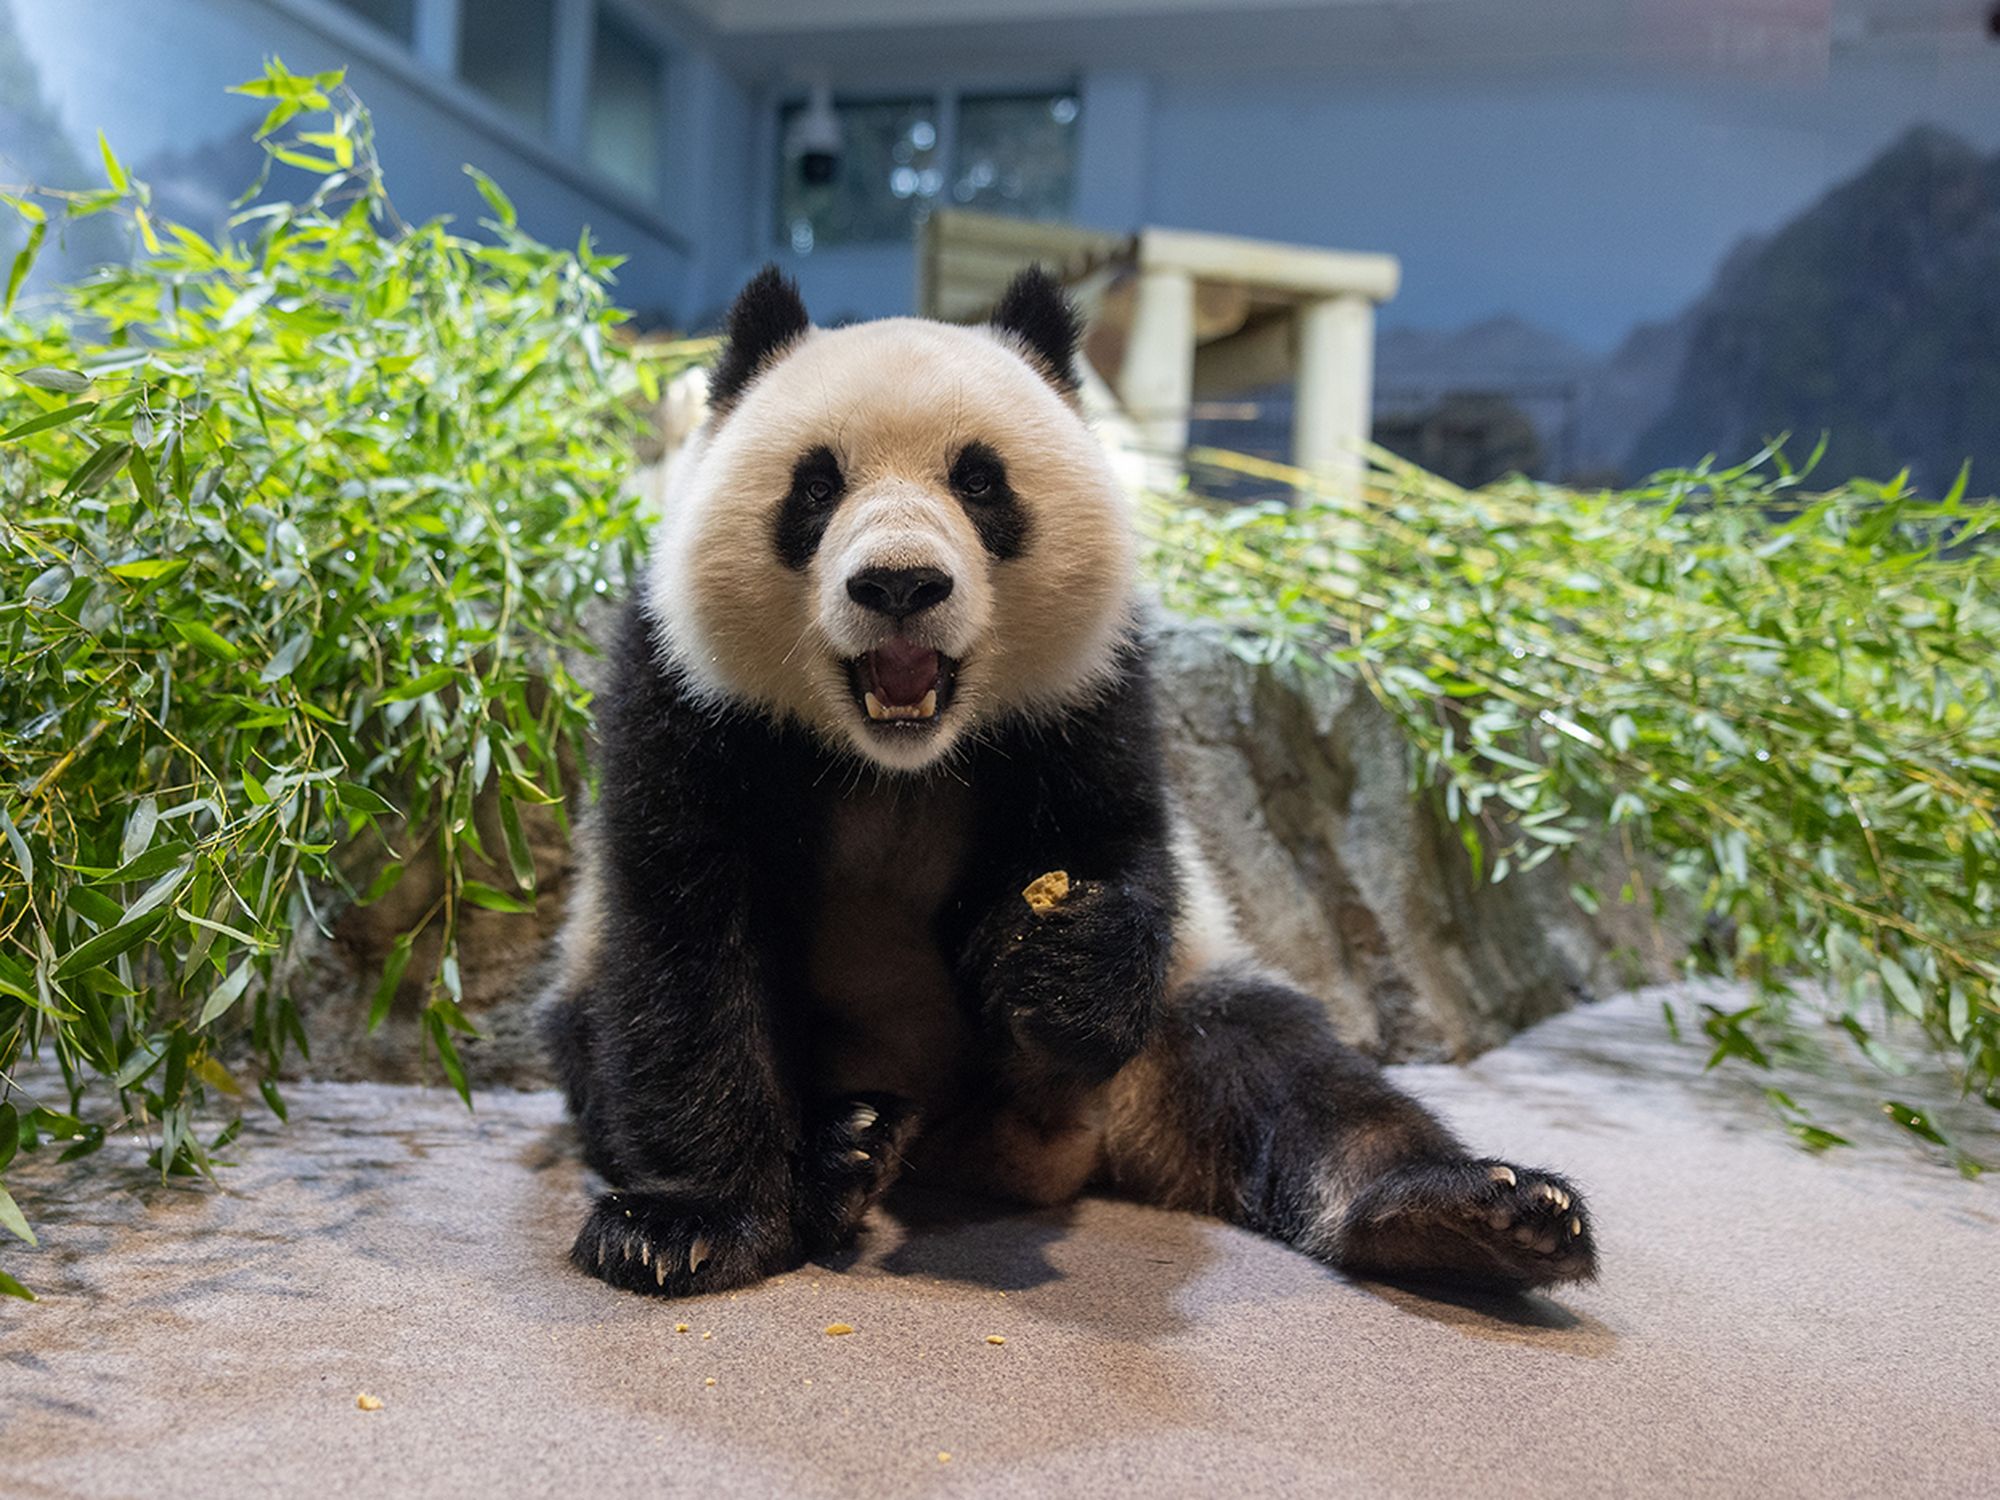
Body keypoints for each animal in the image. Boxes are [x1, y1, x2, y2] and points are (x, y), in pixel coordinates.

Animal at [542, 265, 1597, 1298]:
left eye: (979, 480)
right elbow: (689, 947)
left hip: (1169, 1034)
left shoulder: (1094, 694)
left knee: (1292, 1074)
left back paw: (1471, 1215)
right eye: (816, 484)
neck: (895, 758)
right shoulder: (688, 698)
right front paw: (685, 1226)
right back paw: (846, 1154)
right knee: (593, 1039)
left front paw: (1057, 955)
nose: (899, 585)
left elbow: (1122, 841)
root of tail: (1036, 1148)